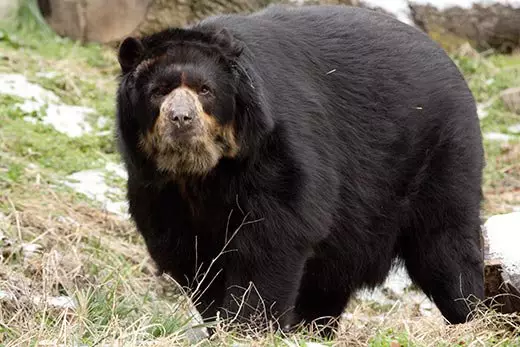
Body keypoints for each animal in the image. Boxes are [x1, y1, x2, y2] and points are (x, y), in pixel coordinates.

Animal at [116, 3, 486, 338]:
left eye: (205, 90)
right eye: (159, 91)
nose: (181, 119)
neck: (201, 171)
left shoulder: (277, 150)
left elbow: (275, 235)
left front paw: (248, 326)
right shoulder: (157, 188)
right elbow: (191, 255)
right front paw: (221, 322)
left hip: (439, 158)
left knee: (444, 246)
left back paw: (470, 318)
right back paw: (313, 328)